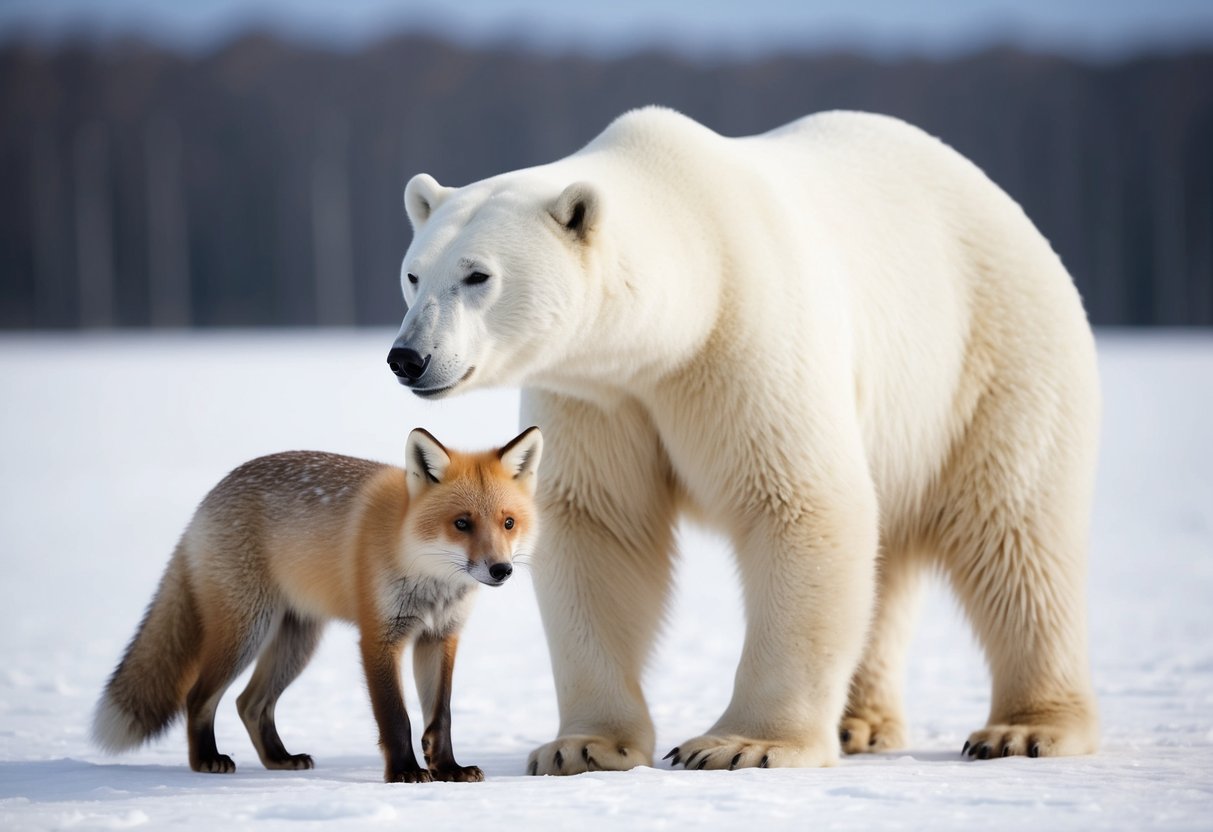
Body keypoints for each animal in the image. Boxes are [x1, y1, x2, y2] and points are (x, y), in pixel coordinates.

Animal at [92, 426, 543, 783]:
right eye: (461, 524)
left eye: (508, 523)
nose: (501, 569)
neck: (425, 573)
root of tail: (210, 497)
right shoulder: (379, 637)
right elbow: (395, 716)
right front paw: (404, 772)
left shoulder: (440, 636)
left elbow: (441, 716)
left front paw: (448, 769)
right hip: (246, 633)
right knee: (199, 697)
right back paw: (206, 759)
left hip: (297, 643)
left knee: (250, 704)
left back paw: (278, 758)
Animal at [386, 106, 1100, 773]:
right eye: (415, 274)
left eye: (478, 275)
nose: (408, 357)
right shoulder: (598, 394)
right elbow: (597, 530)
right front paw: (582, 746)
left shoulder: (749, 343)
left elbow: (800, 505)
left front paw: (742, 745)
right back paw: (860, 724)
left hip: (991, 360)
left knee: (1015, 535)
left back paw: (1024, 729)